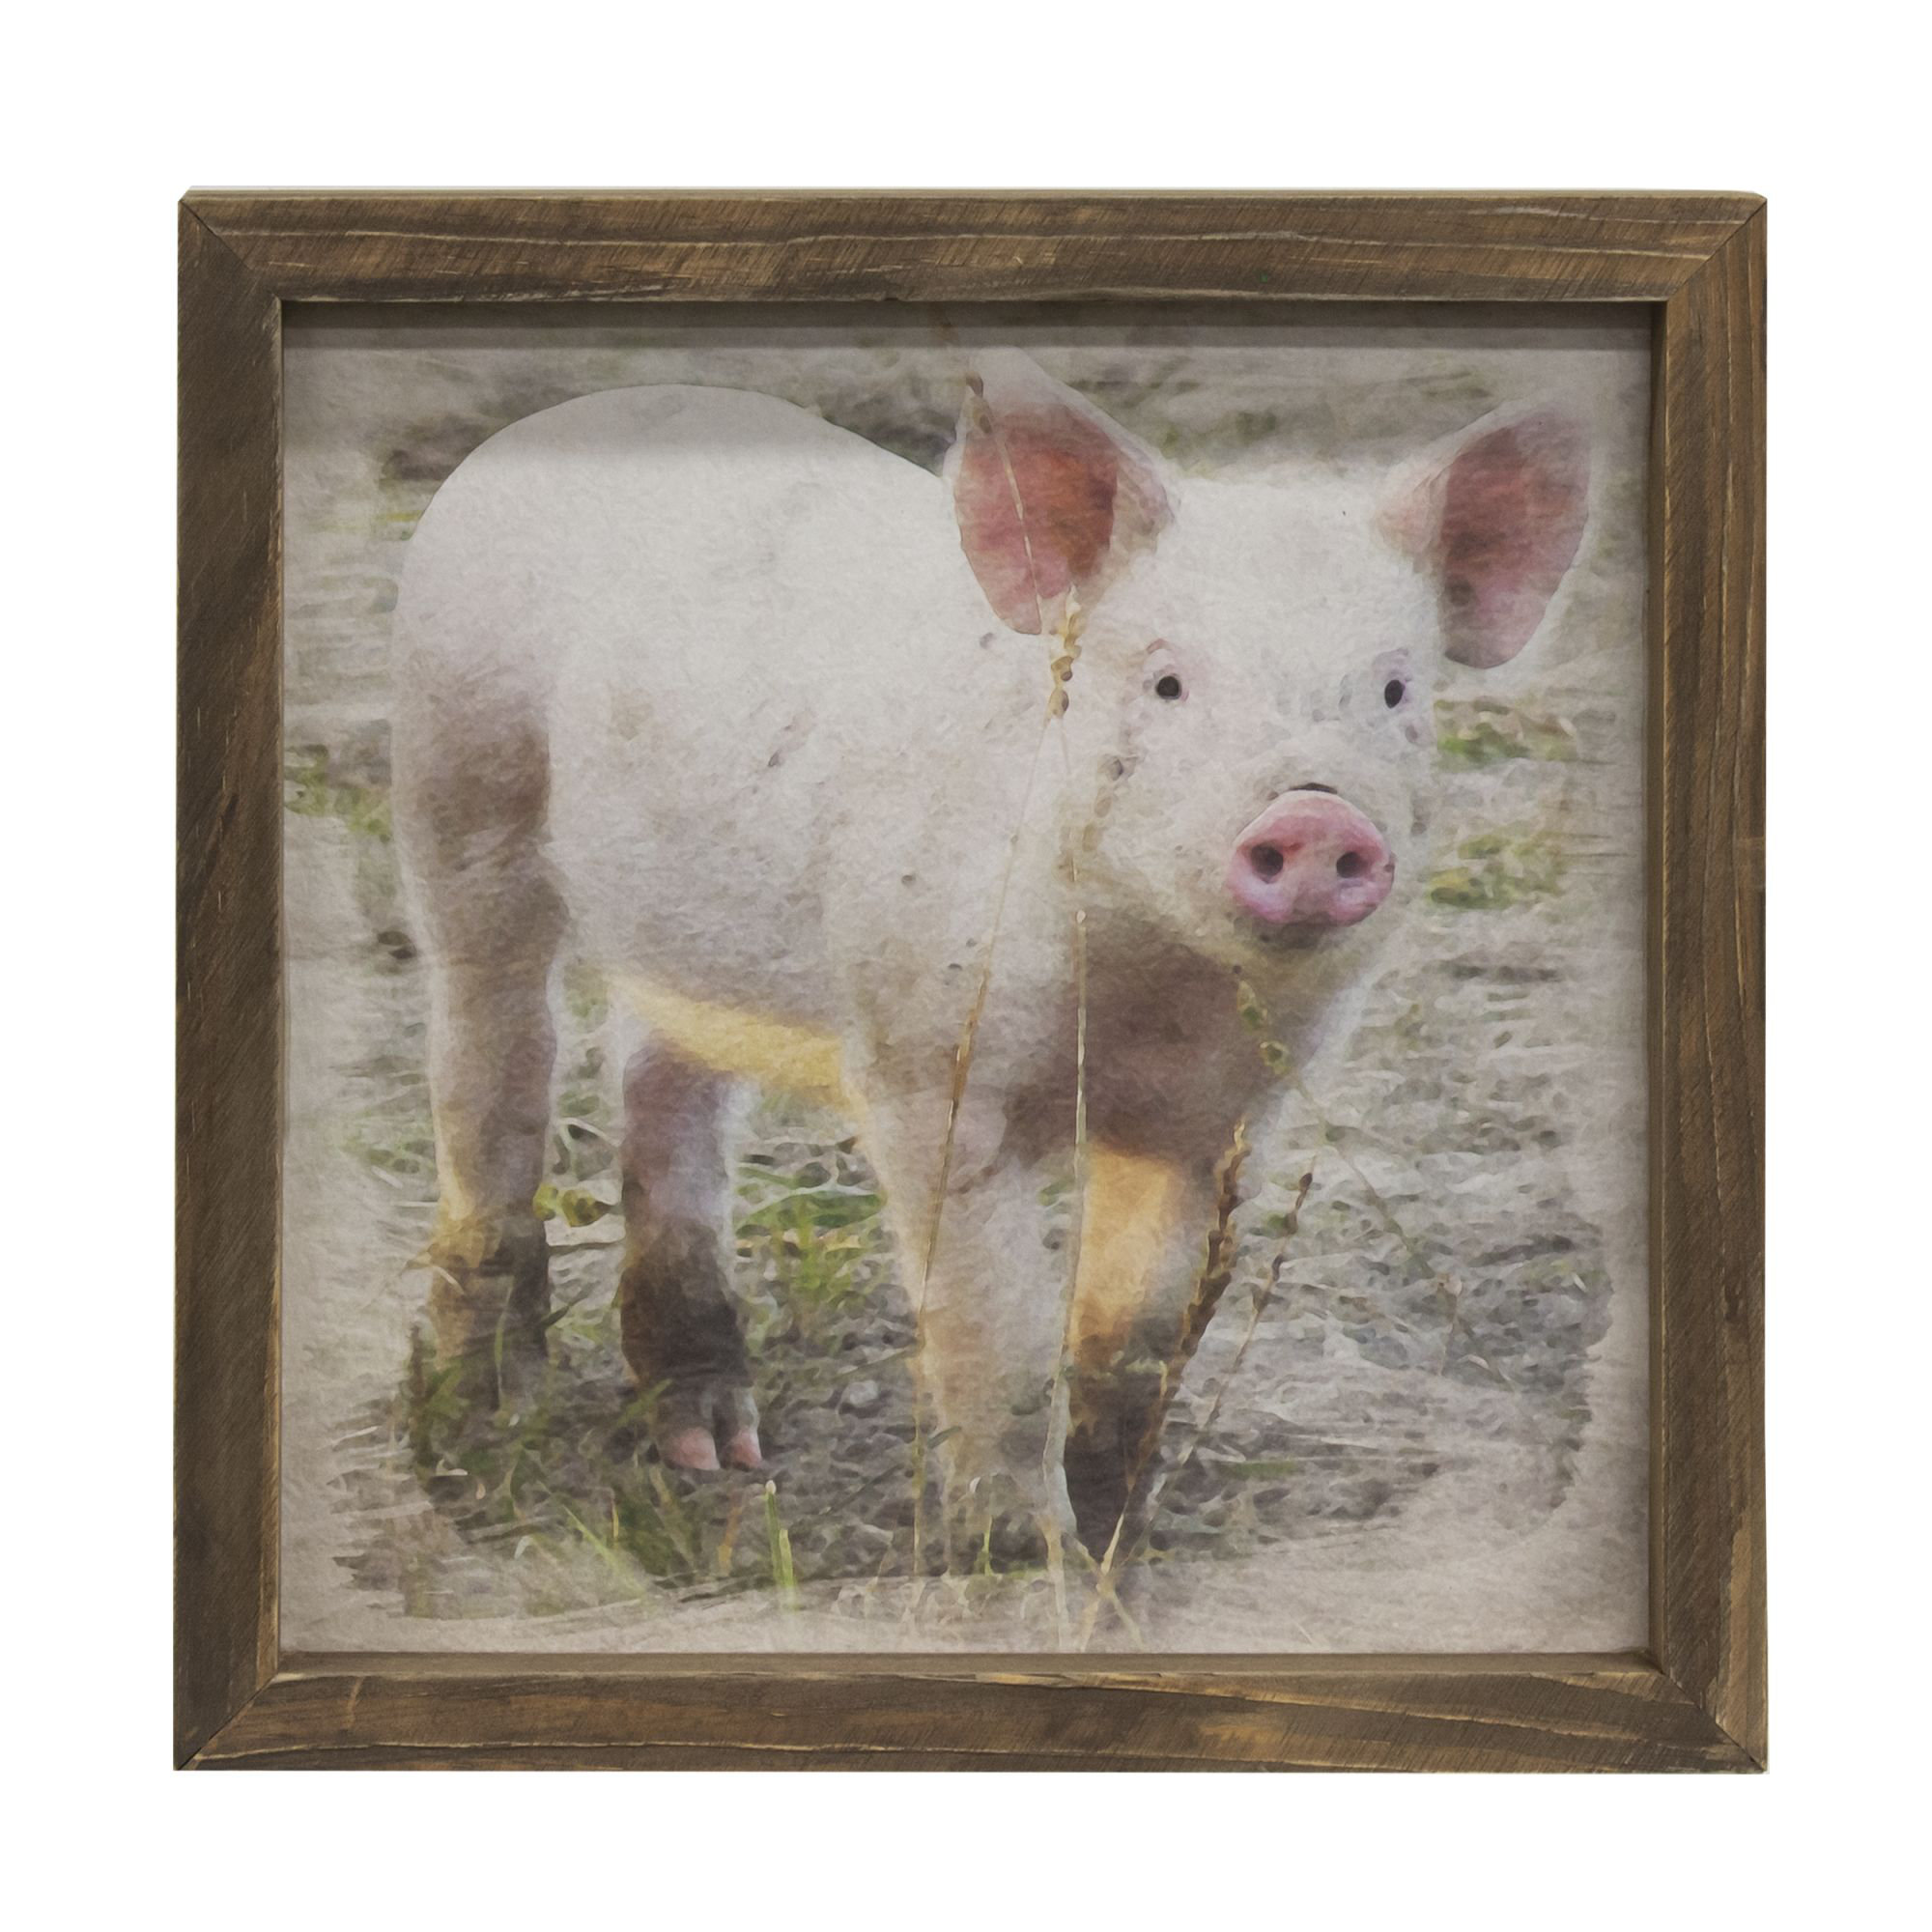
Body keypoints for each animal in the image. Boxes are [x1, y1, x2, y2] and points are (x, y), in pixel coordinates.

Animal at [391, 354, 1589, 1562]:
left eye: (1393, 692)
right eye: (1165, 683)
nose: (1312, 816)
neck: (1150, 995)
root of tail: (570, 416)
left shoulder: (1228, 1110)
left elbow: (1136, 1331)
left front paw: (1112, 1533)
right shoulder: (924, 1060)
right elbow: (996, 1329)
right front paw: (1021, 1553)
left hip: (681, 940)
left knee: (662, 1093)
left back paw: (714, 1446)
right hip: (458, 781)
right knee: (489, 1059)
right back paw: (482, 1420)